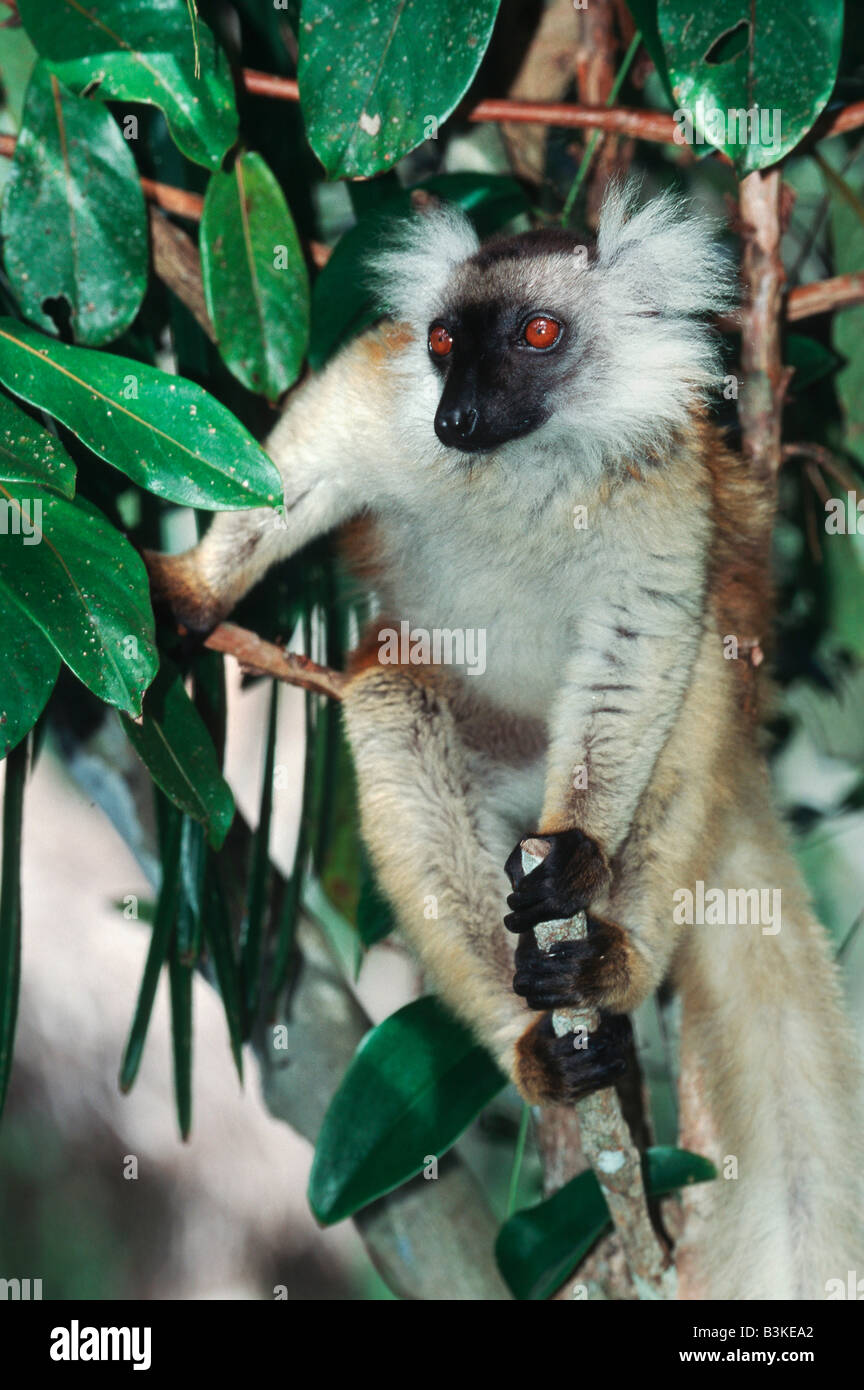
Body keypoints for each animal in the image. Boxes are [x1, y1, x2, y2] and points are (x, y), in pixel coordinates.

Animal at [146, 184, 864, 1300]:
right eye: (444, 341)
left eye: (537, 334)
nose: (458, 418)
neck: (526, 464)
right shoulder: (390, 398)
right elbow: (296, 468)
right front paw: (192, 589)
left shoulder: (662, 480)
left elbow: (640, 636)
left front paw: (575, 860)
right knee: (393, 698)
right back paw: (538, 1044)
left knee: (698, 665)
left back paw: (604, 965)